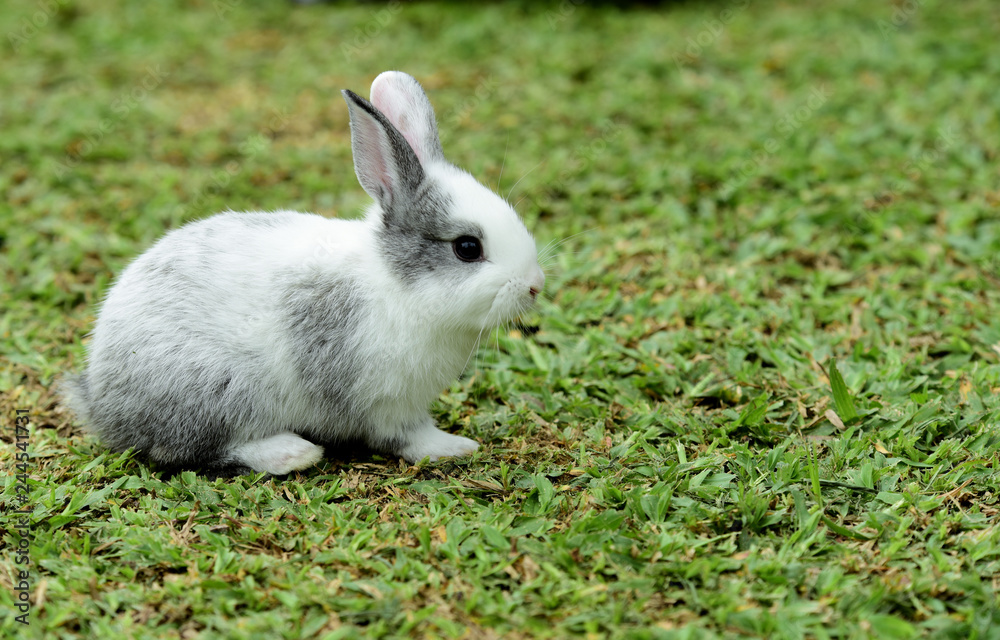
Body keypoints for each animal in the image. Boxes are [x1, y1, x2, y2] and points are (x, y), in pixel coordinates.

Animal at [61, 71, 545, 476]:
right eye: (467, 248)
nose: (535, 286)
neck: (396, 284)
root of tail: (99, 401)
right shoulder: (386, 404)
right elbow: (407, 437)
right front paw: (453, 447)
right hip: (219, 392)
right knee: (195, 449)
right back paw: (292, 453)